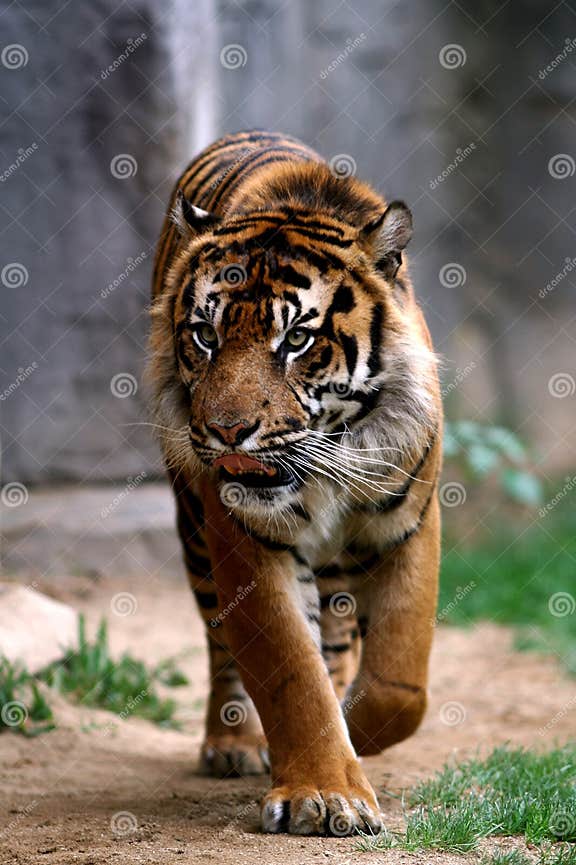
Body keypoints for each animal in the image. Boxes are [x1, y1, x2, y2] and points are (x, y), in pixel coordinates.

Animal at [147, 130, 442, 836]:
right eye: (205, 334)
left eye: (298, 339)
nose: (227, 432)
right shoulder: (245, 539)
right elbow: (290, 672)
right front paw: (327, 794)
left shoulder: (411, 524)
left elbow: (401, 678)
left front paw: (357, 733)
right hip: (195, 534)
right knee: (222, 649)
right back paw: (232, 744)